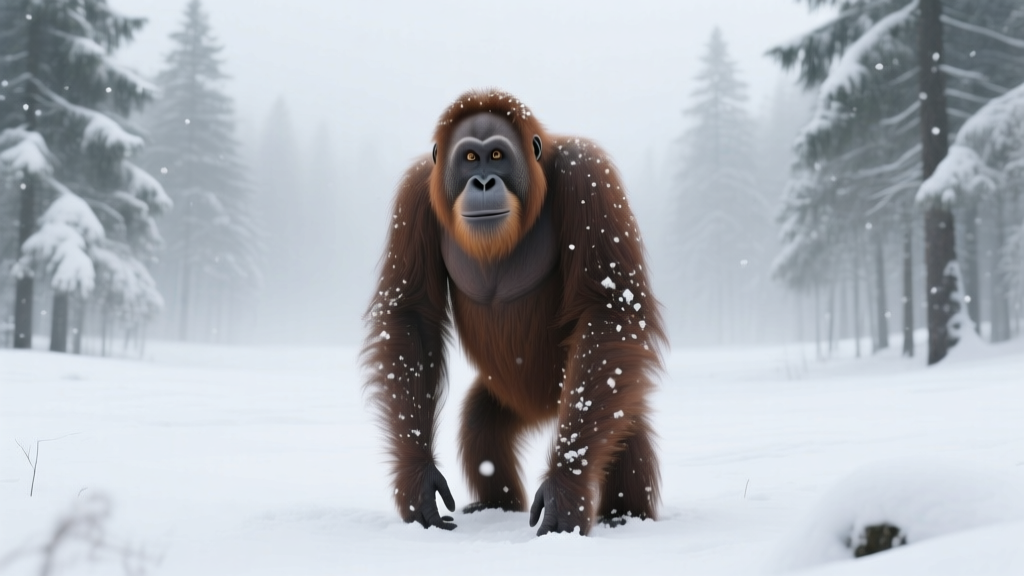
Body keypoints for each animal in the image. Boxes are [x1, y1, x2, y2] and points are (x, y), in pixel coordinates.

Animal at [363, 89, 665, 536]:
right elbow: (411, 318)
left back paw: (625, 516)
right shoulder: (414, 196)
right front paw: (419, 483)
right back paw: (496, 506)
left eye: (497, 156)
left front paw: (563, 497)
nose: (484, 181)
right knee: (480, 423)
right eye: (471, 158)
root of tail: (545, 409)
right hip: (511, 398)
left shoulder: (588, 175)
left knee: (621, 416)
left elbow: (609, 309)